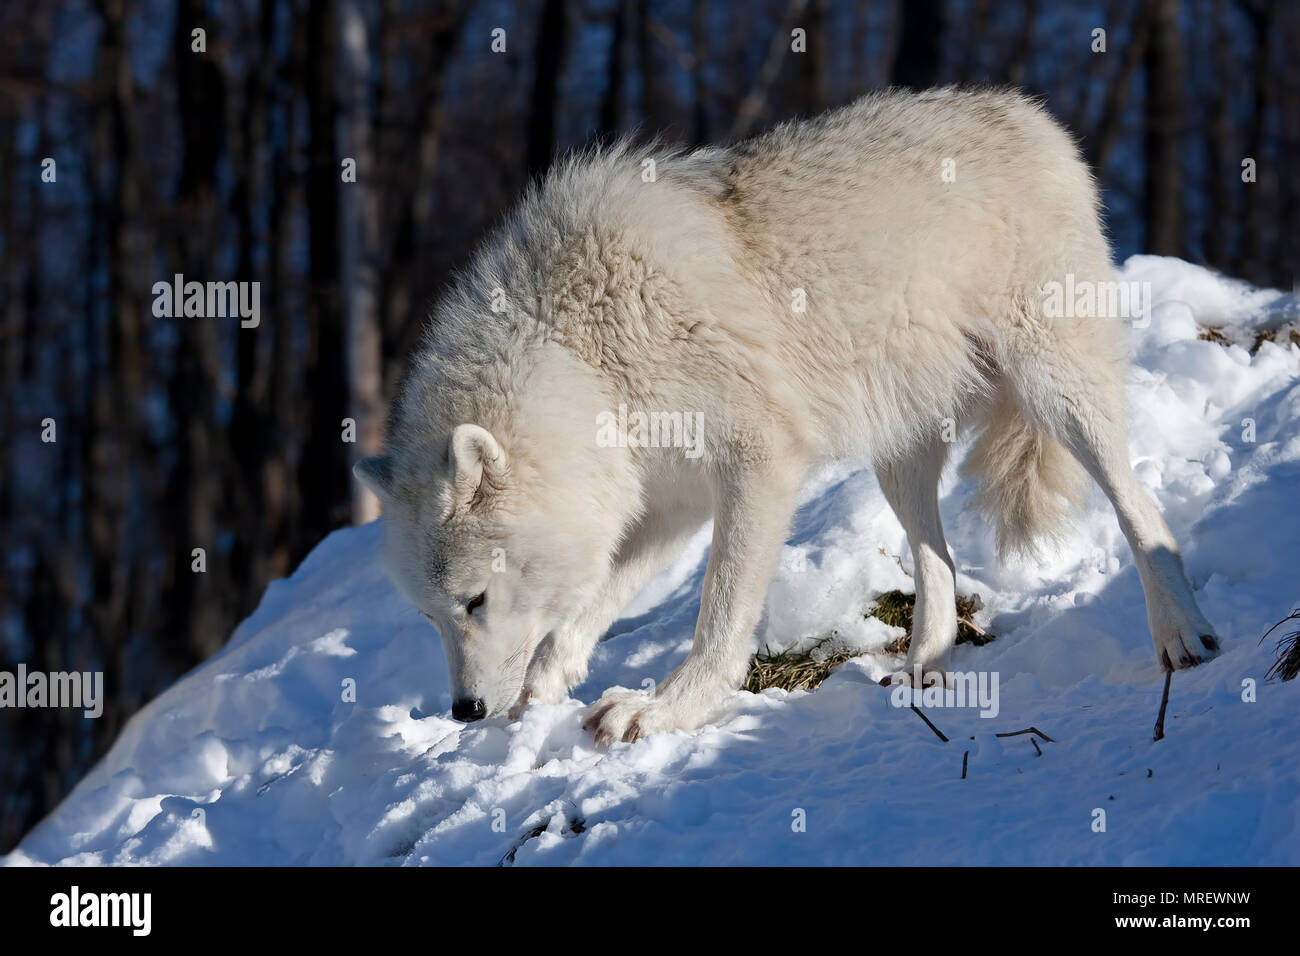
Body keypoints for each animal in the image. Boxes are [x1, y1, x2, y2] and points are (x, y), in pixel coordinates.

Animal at [355, 87, 1220, 745]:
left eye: (475, 601)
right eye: (431, 617)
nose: (465, 712)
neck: (582, 349)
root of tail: (1030, 115)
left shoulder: (755, 463)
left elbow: (721, 612)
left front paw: (666, 710)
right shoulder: (660, 499)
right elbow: (587, 609)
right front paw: (544, 695)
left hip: (1055, 390)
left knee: (1135, 502)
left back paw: (1182, 633)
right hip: (897, 453)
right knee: (935, 562)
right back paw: (923, 669)